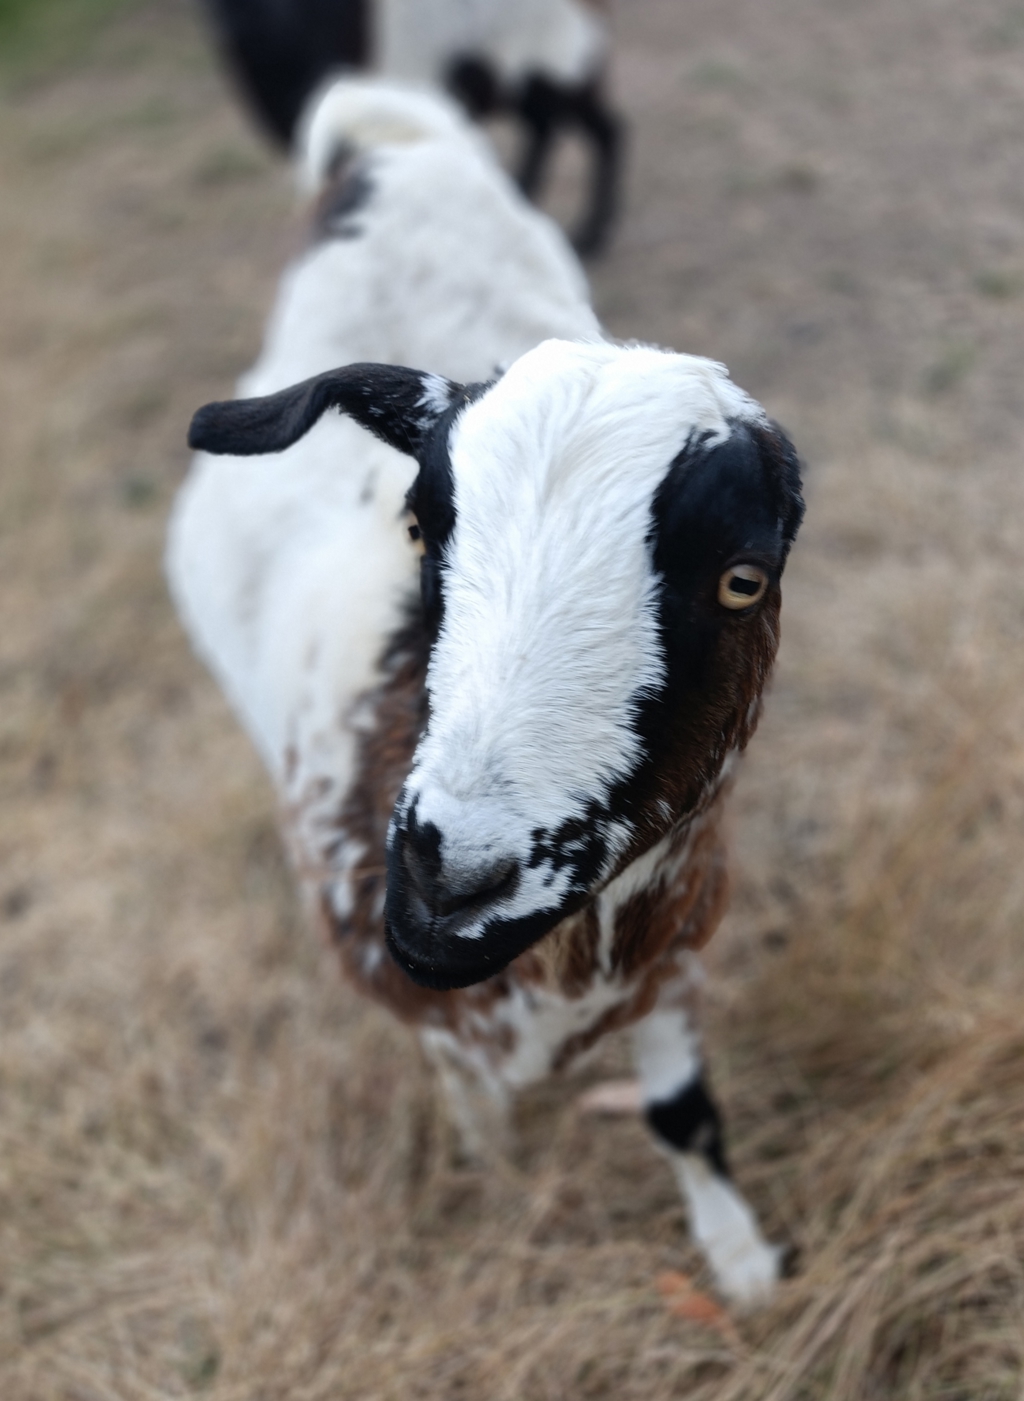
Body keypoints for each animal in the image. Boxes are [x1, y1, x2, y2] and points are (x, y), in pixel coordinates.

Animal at [168, 77, 804, 1307]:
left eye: (743, 576)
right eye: (422, 526)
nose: (450, 881)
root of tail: (381, 146)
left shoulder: (678, 944)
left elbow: (682, 1112)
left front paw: (742, 1262)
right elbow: (471, 1099)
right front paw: (494, 1180)